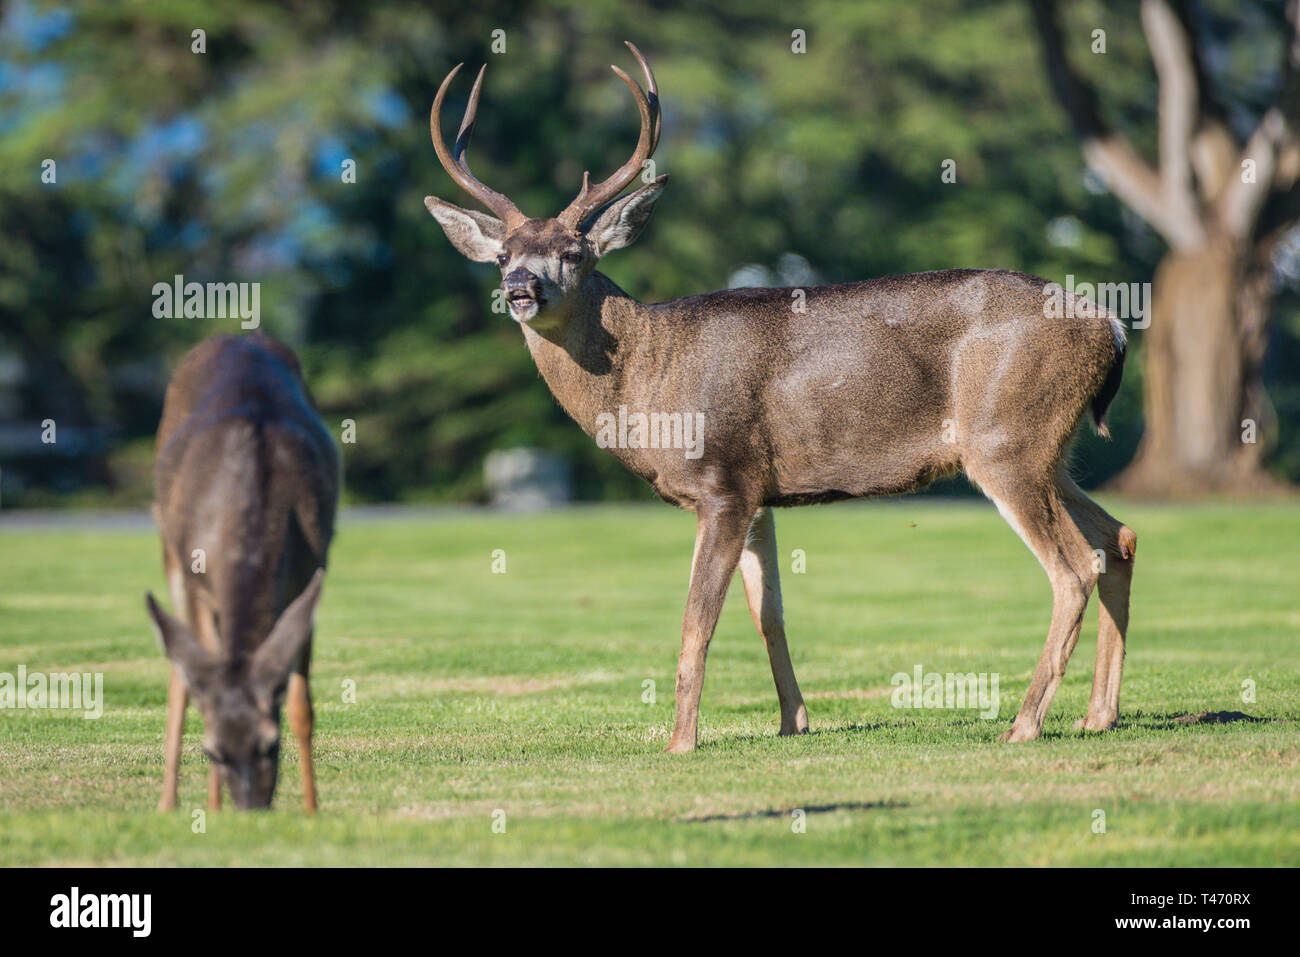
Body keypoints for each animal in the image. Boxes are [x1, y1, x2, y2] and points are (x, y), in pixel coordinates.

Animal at [146, 334, 339, 809]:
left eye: (272, 744)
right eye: (212, 752)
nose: (251, 808)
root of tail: (237, 335)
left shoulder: (310, 572)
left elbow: (301, 706)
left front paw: (312, 810)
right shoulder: (196, 581)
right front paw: (214, 810)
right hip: (169, 551)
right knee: (181, 675)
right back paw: (167, 803)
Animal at [423, 42, 1136, 752]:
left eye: (574, 253)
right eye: (503, 254)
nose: (520, 288)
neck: (649, 376)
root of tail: (1111, 324)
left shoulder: (722, 481)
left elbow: (697, 621)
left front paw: (680, 743)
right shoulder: (759, 491)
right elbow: (768, 613)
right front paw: (794, 721)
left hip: (1005, 442)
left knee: (1073, 568)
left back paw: (1025, 723)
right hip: (1048, 450)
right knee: (1118, 539)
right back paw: (1097, 714)